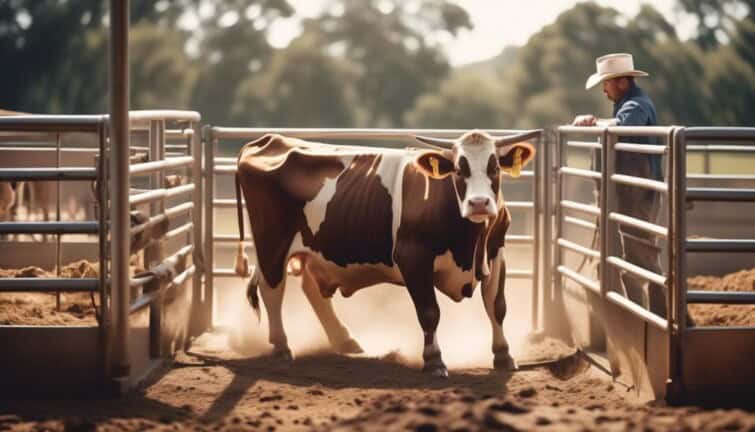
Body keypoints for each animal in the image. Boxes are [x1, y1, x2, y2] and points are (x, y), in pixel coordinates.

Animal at [234, 130, 538, 376]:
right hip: (272, 243)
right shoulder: (413, 257)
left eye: (495, 167)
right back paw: (282, 347)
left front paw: (504, 355)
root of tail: (268, 140)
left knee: (311, 288)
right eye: (458, 170)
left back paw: (345, 340)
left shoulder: (496, 251)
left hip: (315, 251)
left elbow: (497, 306)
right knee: (272, 289)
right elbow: (429, 312)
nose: (479, 203)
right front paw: (434, 360)